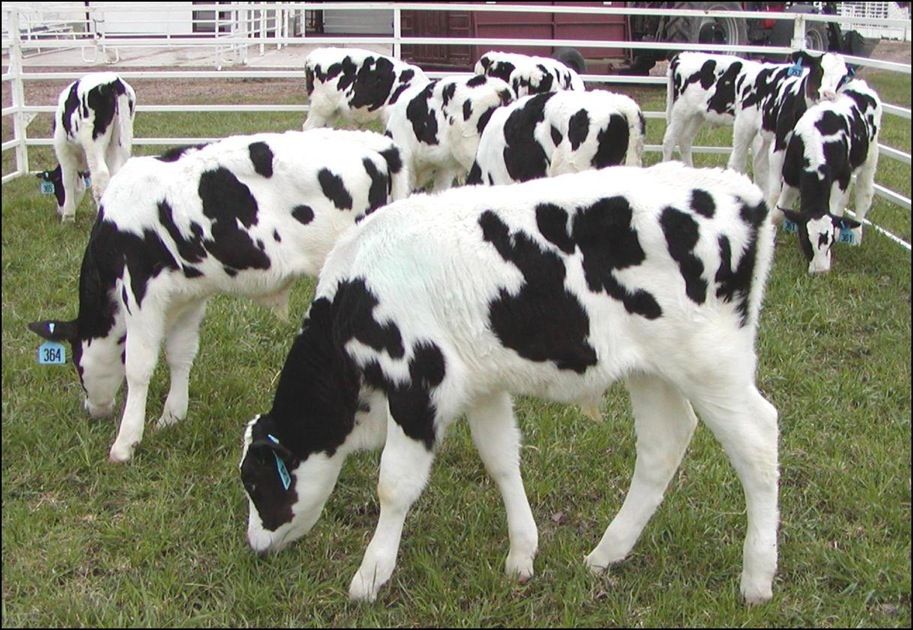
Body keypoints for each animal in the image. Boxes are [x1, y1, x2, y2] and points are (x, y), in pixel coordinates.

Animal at [28, 129, 409, 463]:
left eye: (78, 364)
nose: (93, 411)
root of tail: (379, 146)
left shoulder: (140, 289)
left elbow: (138, 366)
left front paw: (125, 443)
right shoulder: (188, 294)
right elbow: (180, 353)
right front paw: (172, 416)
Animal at [36, 72, 136, 222]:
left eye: (56, 189)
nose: (59, 210)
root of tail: (113, 81)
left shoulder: (63, 148)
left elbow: (67, 180)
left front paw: (68, 216)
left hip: (93, 142)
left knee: (100, 175)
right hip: (123, 136)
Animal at [238, 161, 780, 606]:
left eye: (255, 482)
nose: (255, 547)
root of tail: (742, 192)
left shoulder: (418, 385)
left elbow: (394, 485)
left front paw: (369, 577)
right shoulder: (481, 384)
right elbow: (500, 458)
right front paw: (523, 554)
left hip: (713, 363)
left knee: (758, 440)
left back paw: (756, 579)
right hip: (653, 368)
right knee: (664, 443)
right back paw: (606, 553)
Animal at [662, 50, 853, 196]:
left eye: (843, 78)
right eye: (819, 69)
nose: (828, 95)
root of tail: (683, 55)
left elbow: (763, 172)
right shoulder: (775, 139)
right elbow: (771, 185)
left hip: (698, 114)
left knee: (685, 140)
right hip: (682, 111)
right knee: (670, 141)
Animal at [770, 79, 882, 274]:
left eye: (830, 241)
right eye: (805, 238)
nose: (820, 271)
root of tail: (860, 84)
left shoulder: (840, 178)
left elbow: (834, 211)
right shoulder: (790, 175)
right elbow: (778, 212)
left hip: (870, 156)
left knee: (864, 193)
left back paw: (856, 236)